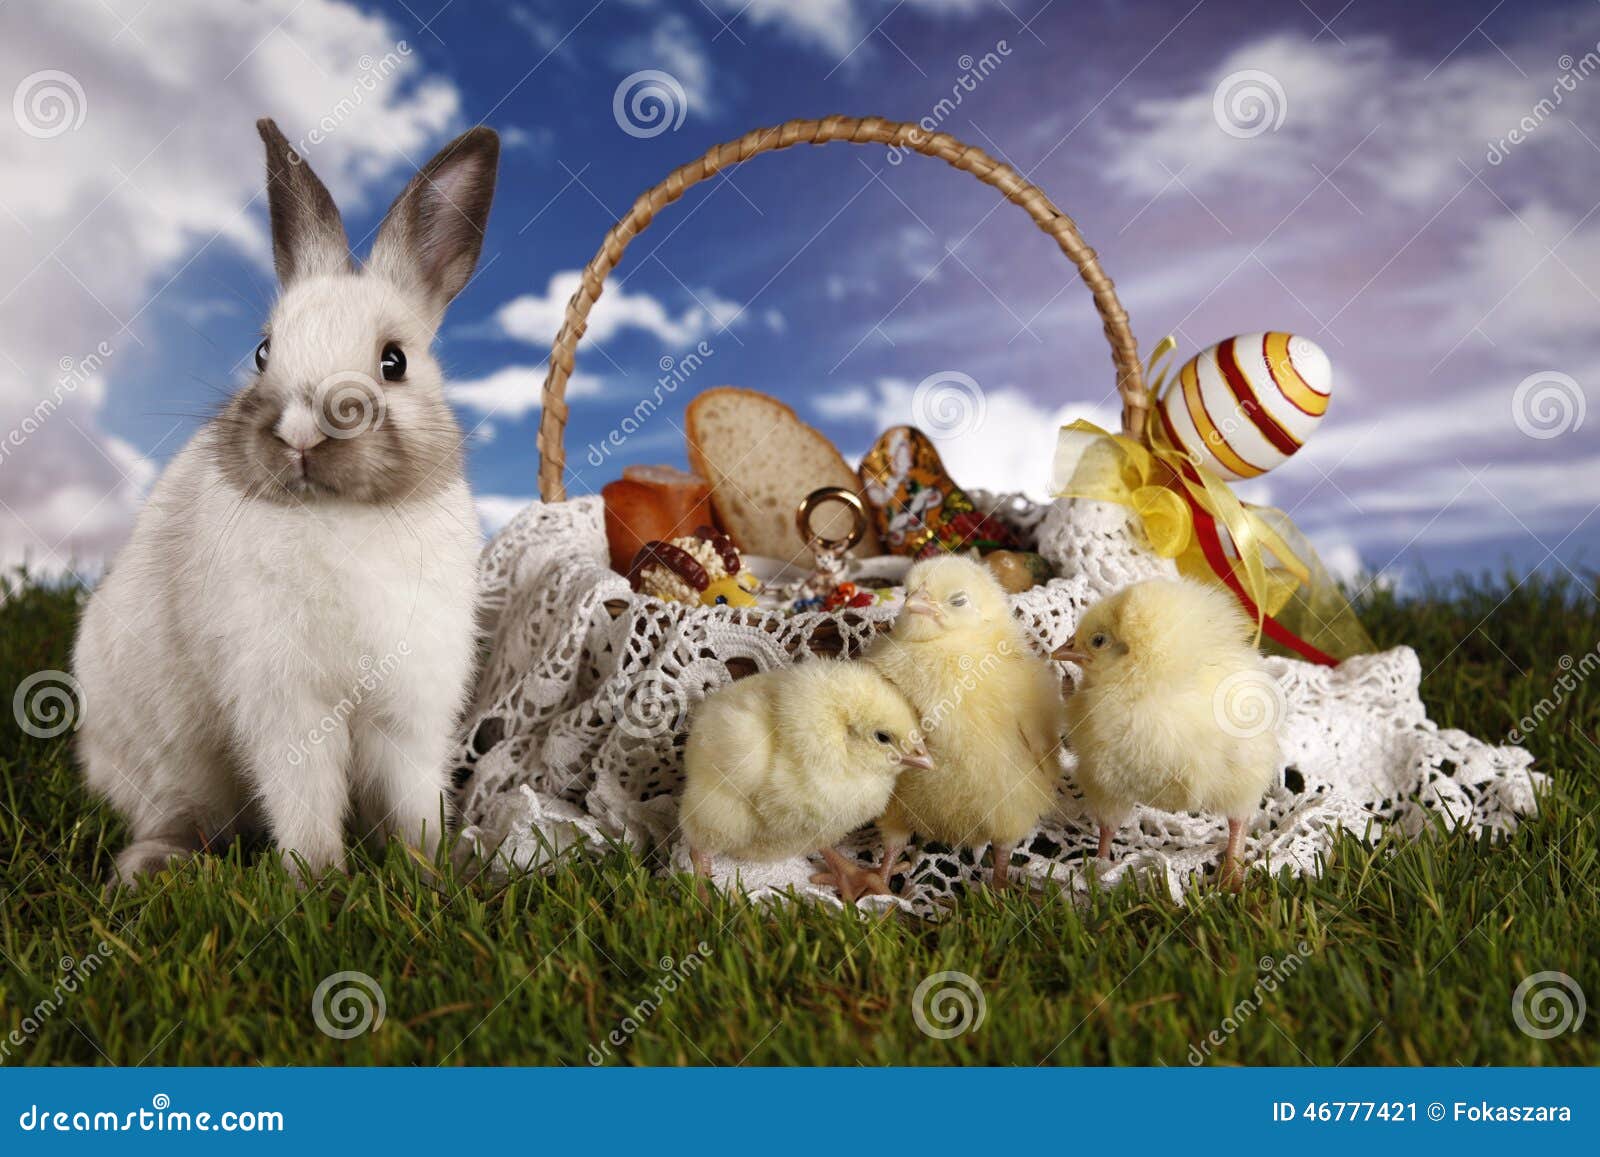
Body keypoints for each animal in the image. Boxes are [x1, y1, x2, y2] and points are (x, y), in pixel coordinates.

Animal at [72, 118, 500, 884]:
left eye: (394, 362)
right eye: (264, 352)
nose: (301, 431)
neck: (338, 515)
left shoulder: (410, 708)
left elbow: (413, 800)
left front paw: (430, 871)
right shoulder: (287, 704)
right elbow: (305, 796)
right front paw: (319, 880)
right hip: (166, 761)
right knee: (174, 813)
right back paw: (153, 866)